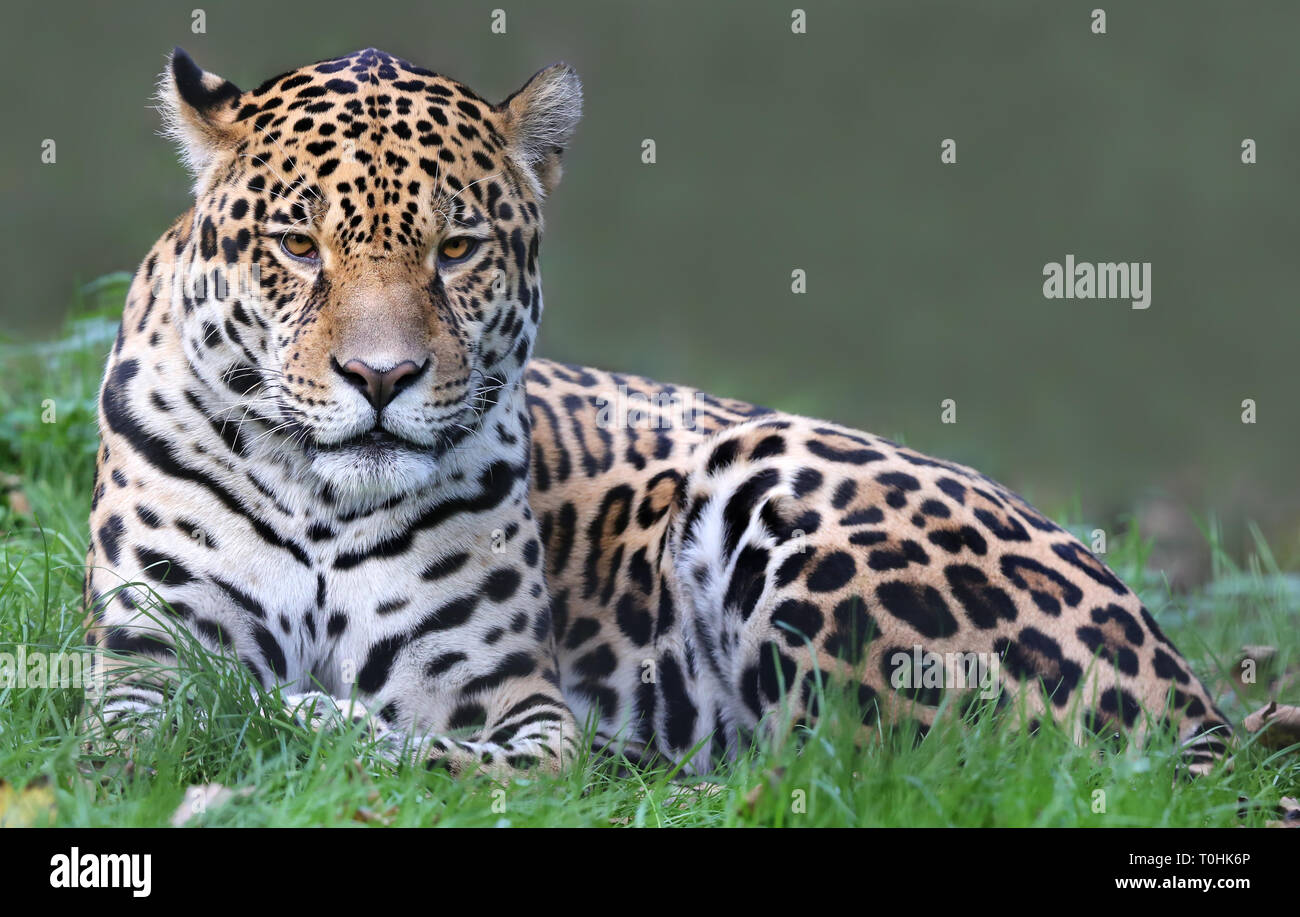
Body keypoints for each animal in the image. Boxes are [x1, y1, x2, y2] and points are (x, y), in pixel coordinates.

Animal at [84, 47, 1230, 778]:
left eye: (456, 249)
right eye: (296, 244)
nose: (381, 376)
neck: (326, 504)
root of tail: (1201, 701)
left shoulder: (514, 704)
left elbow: (448, 754)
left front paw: (299, 712)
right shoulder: (139, 661)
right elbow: (157, 727)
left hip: (771, 471)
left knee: (887, 771)